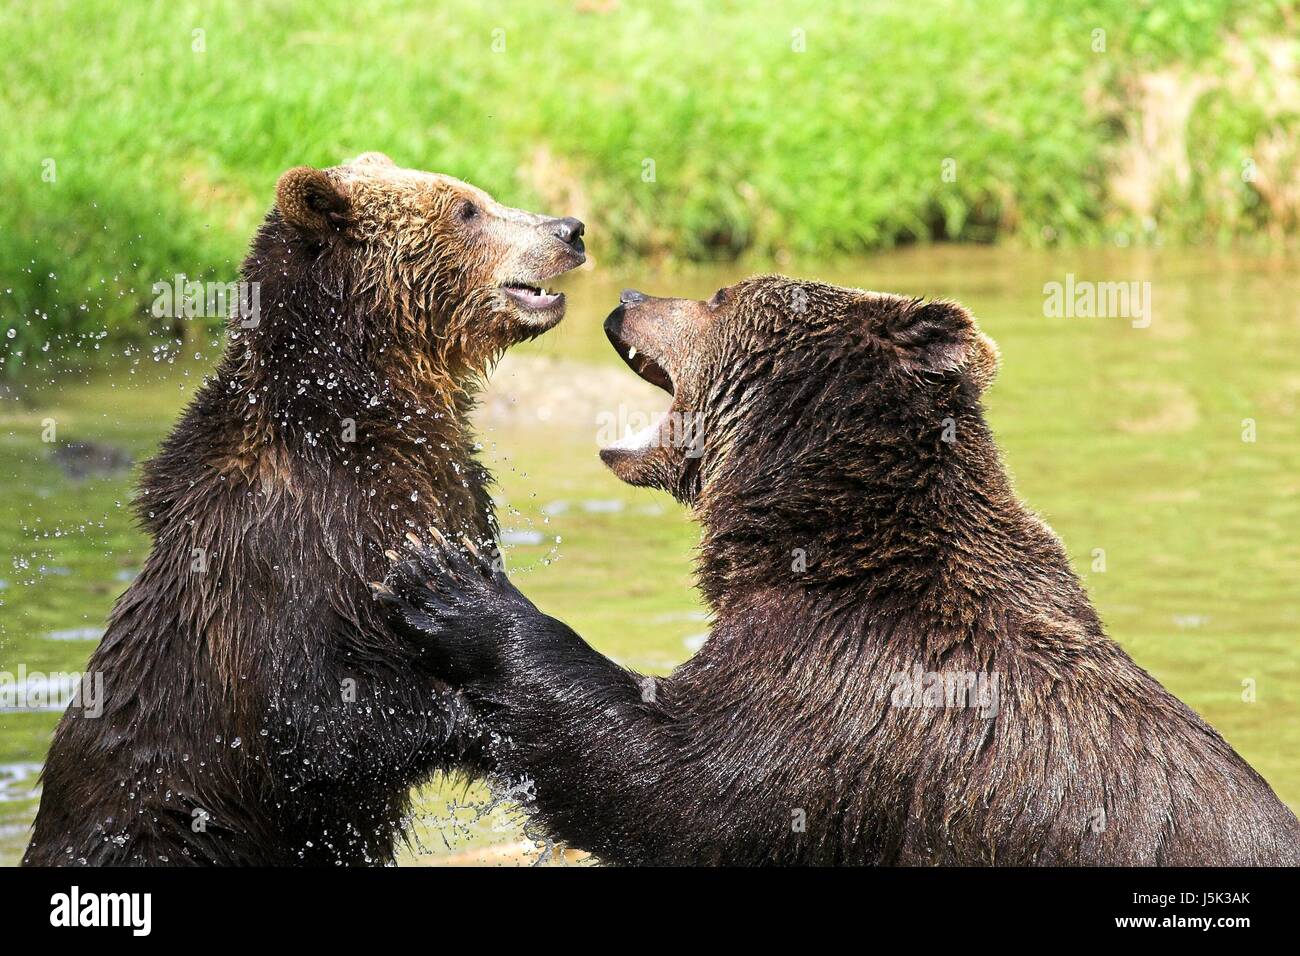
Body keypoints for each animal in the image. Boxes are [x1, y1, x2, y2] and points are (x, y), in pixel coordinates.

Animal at [22, 152, 586, 866]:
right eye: (466, 209)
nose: (570, 230)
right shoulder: (285, 557)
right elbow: (310, 721)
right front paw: (493, 721)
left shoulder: (445, 495)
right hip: (158, 828)